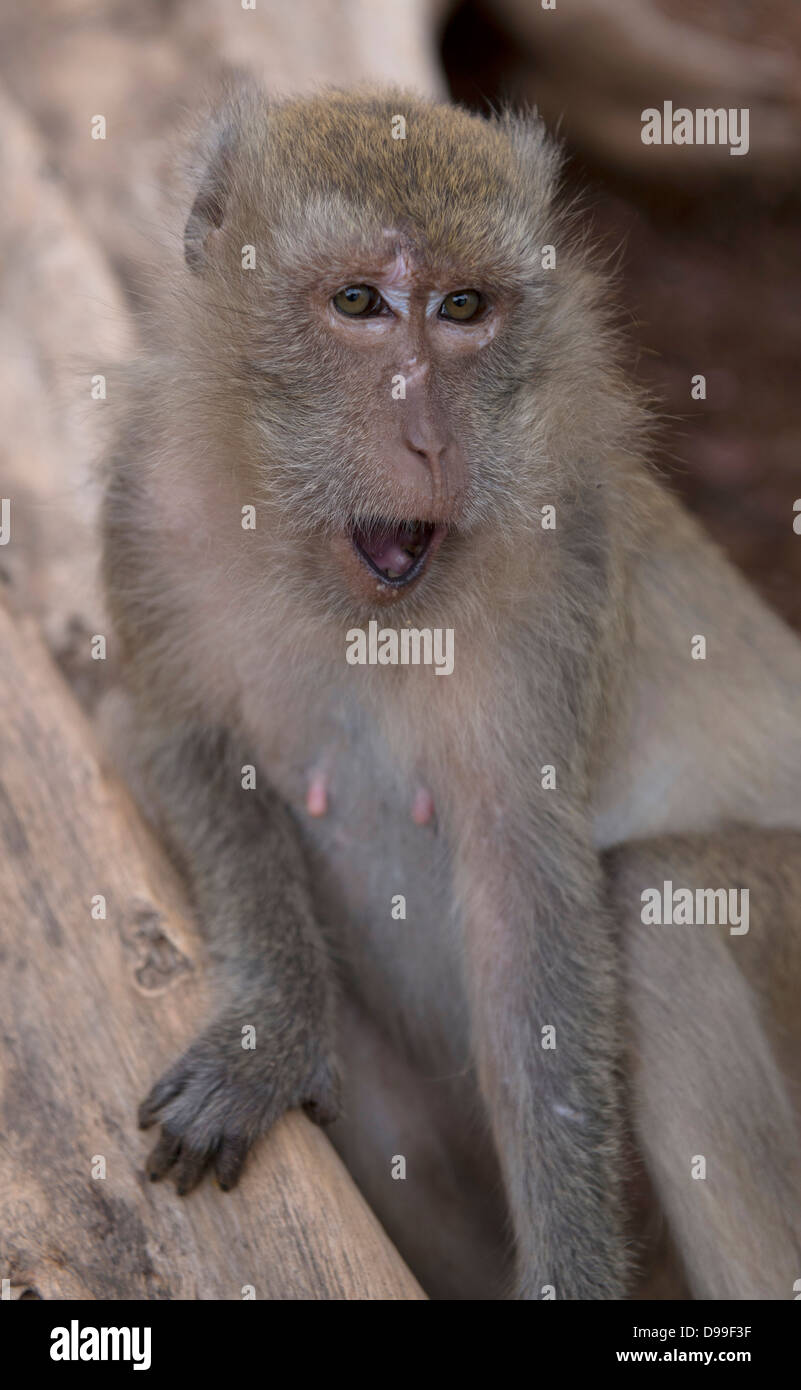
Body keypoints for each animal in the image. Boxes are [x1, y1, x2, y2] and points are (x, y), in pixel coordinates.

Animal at [102, 84, 801, 1300]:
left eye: (464, 307)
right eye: (359, 303)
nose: (429, 439)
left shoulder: (565, 548)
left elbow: (529, 893)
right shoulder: (146, 497)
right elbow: (169, 741)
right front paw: (271, 1032)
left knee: (665, 909)